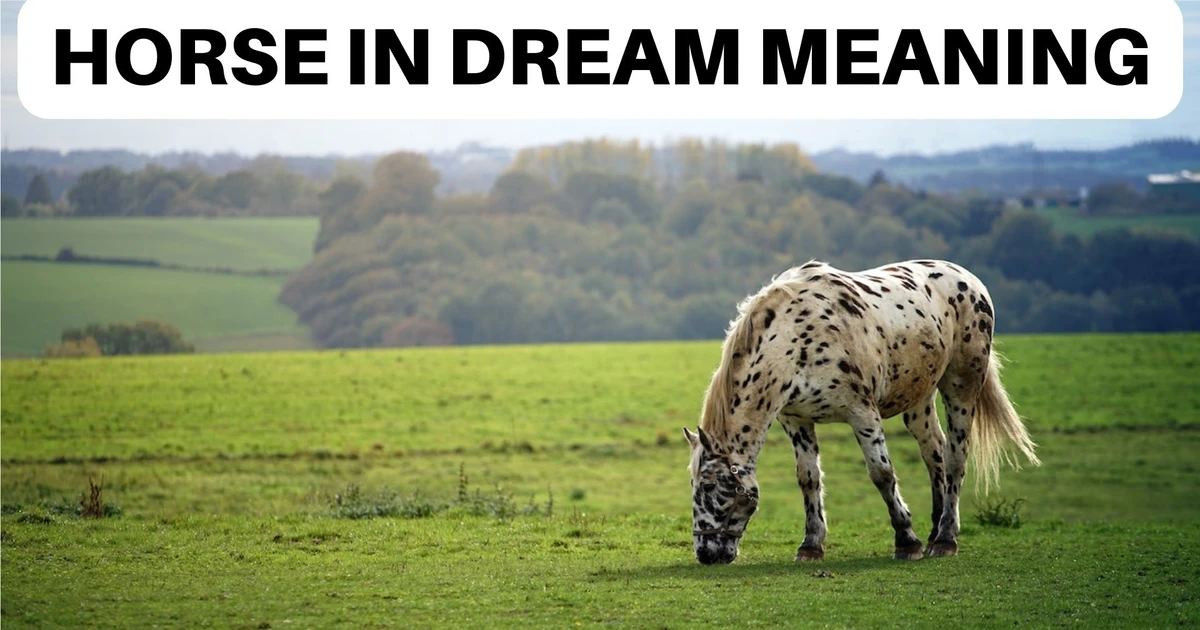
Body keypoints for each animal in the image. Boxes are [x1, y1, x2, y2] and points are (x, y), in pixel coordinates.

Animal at [683, 259, 1040, 565]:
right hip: (919, 399)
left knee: (955, 458)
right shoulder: (796, 420)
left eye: (711, 487)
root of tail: (971, 280)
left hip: (961, 386)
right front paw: (811, 545)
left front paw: (906, 541)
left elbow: (882, 474)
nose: (705, 553)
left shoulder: (862, 414)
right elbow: (808, 478)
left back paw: (945, 539)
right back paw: (934, 530)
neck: (796, 339)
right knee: (934, 453)